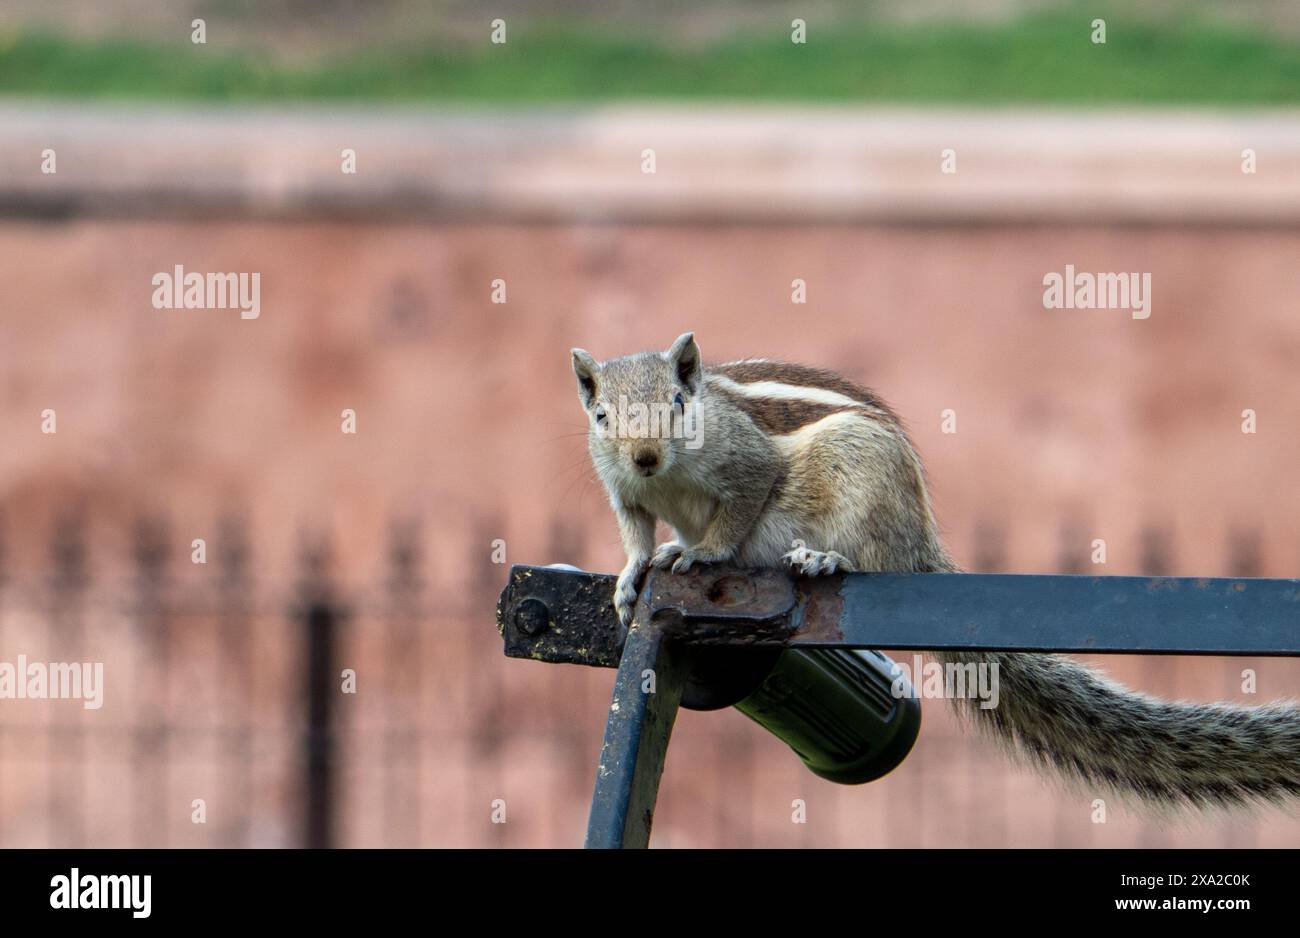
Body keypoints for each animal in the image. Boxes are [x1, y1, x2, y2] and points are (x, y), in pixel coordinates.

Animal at [571, 331, 1300, 811]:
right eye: (602, 414)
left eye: (676, 402)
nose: (644, 456)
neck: (668, 477)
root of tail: (921, 536)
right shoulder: (624, 492)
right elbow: (635, 529)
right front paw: (634, 571)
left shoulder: (749, 465)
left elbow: (738, 511)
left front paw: (703, 552)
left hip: (859, 481)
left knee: (871, 556)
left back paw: (824, 556)